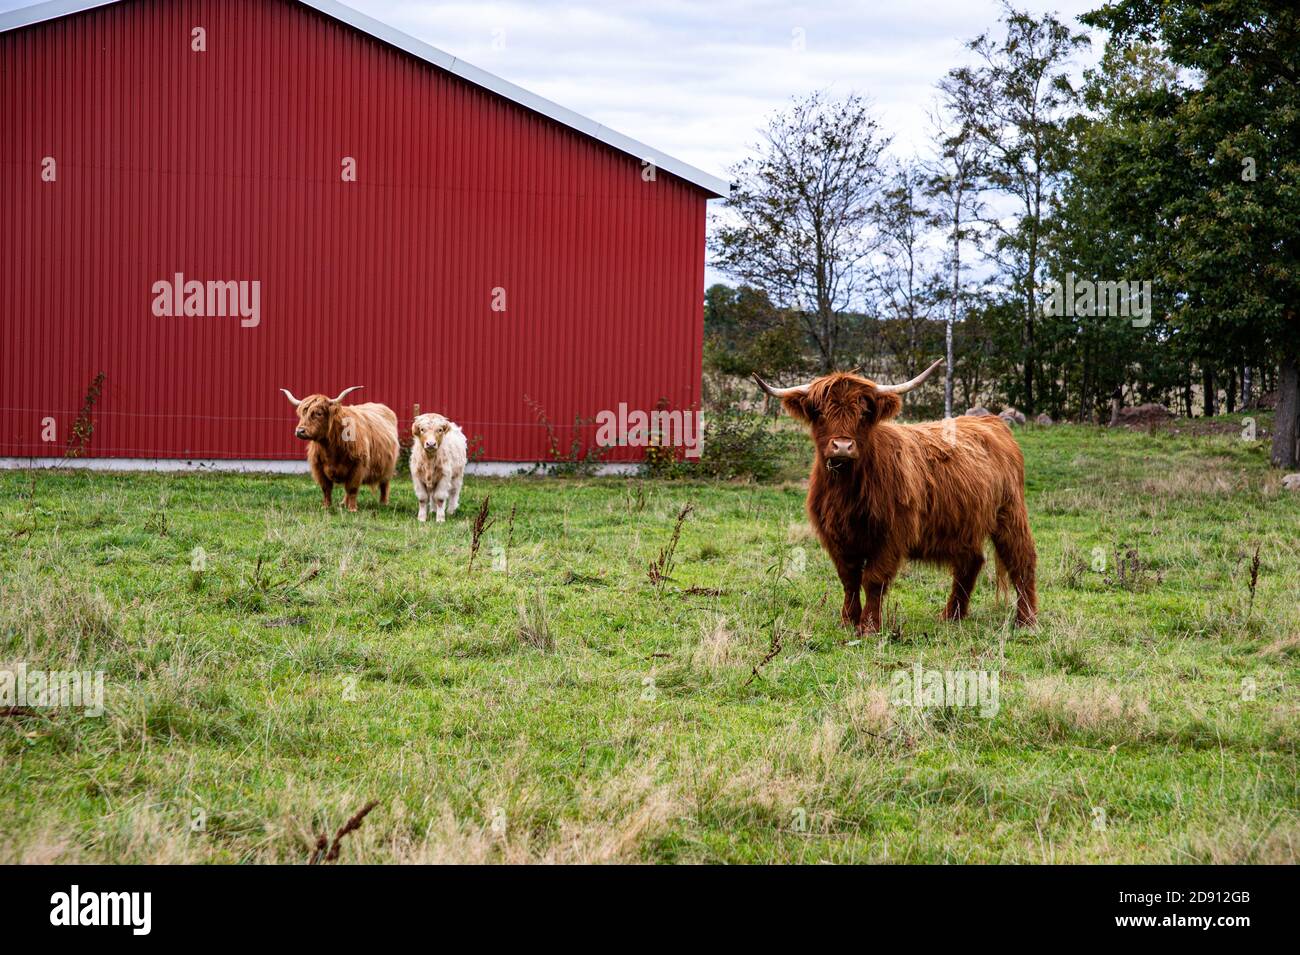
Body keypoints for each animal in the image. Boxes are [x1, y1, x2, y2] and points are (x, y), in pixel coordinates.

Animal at [753, 360, 1038, 633]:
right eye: (821, 413)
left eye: (863, 413)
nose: (843, 446)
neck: (847, 490)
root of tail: (991, 421)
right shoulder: (836, 535)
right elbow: (849, 578)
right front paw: (848, 621)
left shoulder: (891, 535)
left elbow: (873, 579)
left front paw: (869, 627)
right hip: (964, 523)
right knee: (971, 562)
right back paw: (952, 615)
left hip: (1010, 513)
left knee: (1021, 560)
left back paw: (1026, 620)